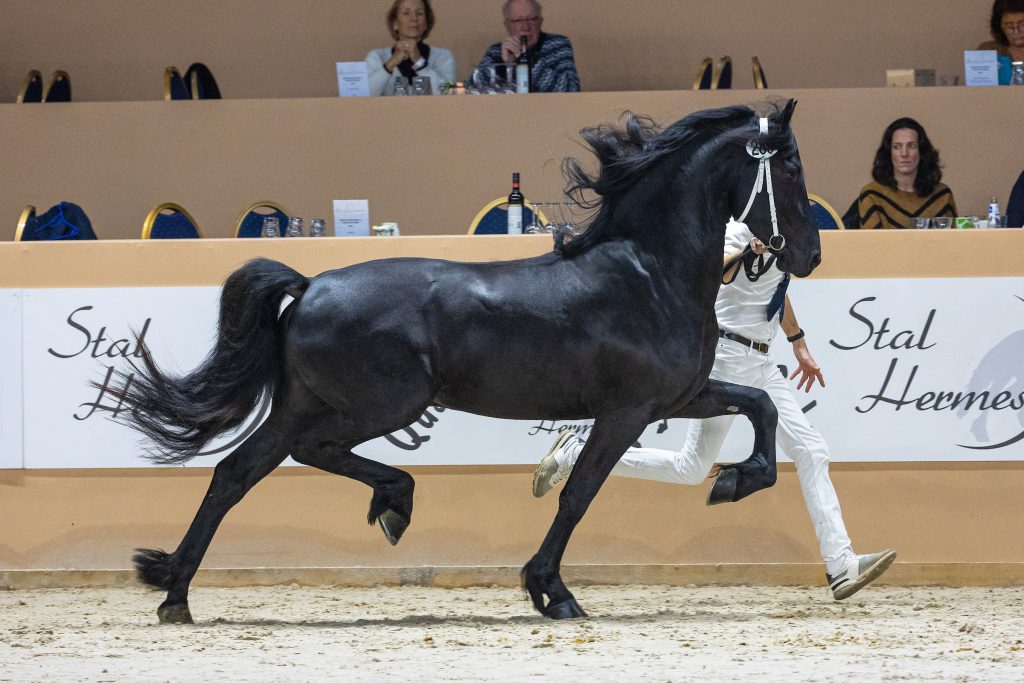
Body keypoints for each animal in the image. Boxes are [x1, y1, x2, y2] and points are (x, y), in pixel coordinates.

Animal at [113, 99, 820, 624]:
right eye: (789, 168)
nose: (810, 255)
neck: (650, 274)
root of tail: (309, 285)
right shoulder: (627, 410)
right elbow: (579, 492)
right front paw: (552, 592)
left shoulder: (675, 398)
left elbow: (759, 404)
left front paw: (733, 482)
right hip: (381, 404)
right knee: (308, 453)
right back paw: (393, 504)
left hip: (303, 404)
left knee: (234, 472)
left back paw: (175, 594)